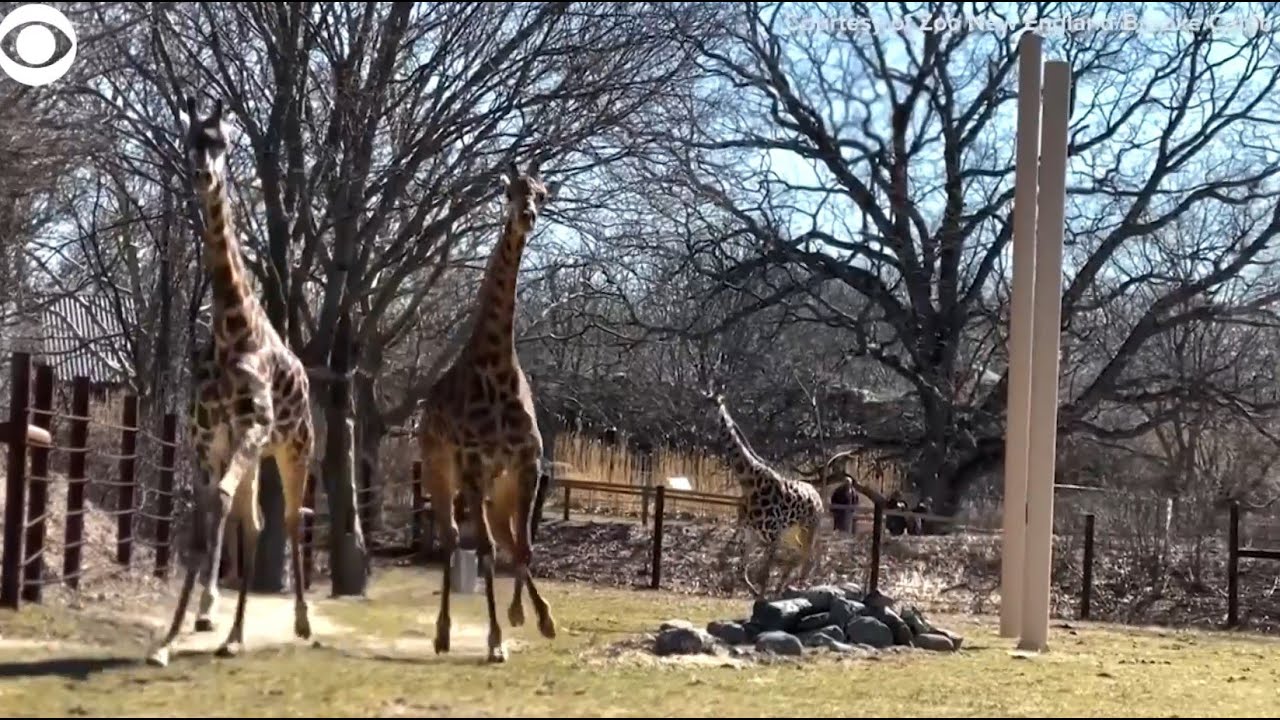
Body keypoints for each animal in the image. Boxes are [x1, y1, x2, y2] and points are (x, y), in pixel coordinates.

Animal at [145, 95, 314, 668]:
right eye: (190, 141)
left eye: (220, 141)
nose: (203, 175)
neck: (231, 328)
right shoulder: (206, 437)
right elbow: (204, 518)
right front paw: (167, 641)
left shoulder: (254, 428)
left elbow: (221, 507)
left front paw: (223, 630)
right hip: (250, 452)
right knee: (252, 520)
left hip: (292, 447)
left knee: (287, 521)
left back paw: (299, 623)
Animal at [417, 158, 559, 663]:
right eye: (509, 192)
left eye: (542, 194)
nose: (526, 217)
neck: (496, 364)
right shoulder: (474, 465)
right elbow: (484, 551)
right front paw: (496, 639)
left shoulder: (527, 463)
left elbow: (524, 549)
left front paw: (537, 618)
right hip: (442, 471)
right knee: (451, 540)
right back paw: (441, 634)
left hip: (499, 488)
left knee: (504, 540)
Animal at [707, 391, 847, 599]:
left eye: (714, 405)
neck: (749, 483)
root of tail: (818, 496)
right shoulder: (751, 533)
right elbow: (742, 570)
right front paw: (757, 593)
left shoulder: (773, 535)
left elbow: (764, 573)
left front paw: (762, 596)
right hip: (792, 533)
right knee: (803, 556)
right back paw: (785, 586)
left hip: (809, 528)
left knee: (808, 556)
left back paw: (796, 585)